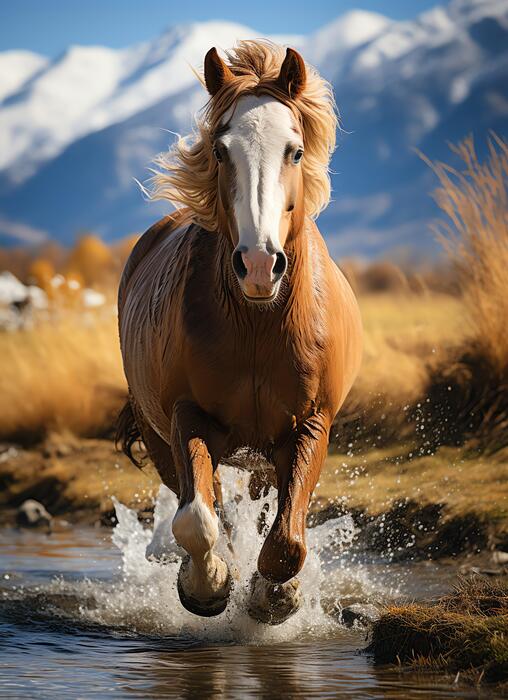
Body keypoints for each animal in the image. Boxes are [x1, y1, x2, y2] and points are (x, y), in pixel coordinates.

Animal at [117, 40, 362, 624]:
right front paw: (208, 586)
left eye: (295, 151)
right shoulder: (188, 418)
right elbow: (196, 519)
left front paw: (275, 597)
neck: (257, 322)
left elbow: (289, 539)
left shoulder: (311, 425)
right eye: (221, 150)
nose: (257, 265)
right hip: (162, 441)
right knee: (214, 509)